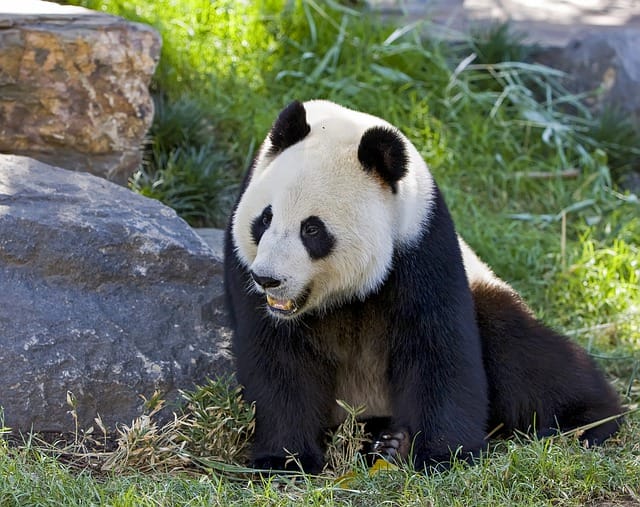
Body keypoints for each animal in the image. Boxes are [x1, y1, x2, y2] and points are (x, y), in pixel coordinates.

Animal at [224, 99, 622, 473]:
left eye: (312, 229)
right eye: (265, 219)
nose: (267, 278)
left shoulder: (421, 242)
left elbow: (438, 347)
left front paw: (445, 454)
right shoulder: (245, 267)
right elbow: (277, 361)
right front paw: (284, 459)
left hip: (486, 293)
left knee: (523, 356)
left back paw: (587, 420)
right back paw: (386, 442)